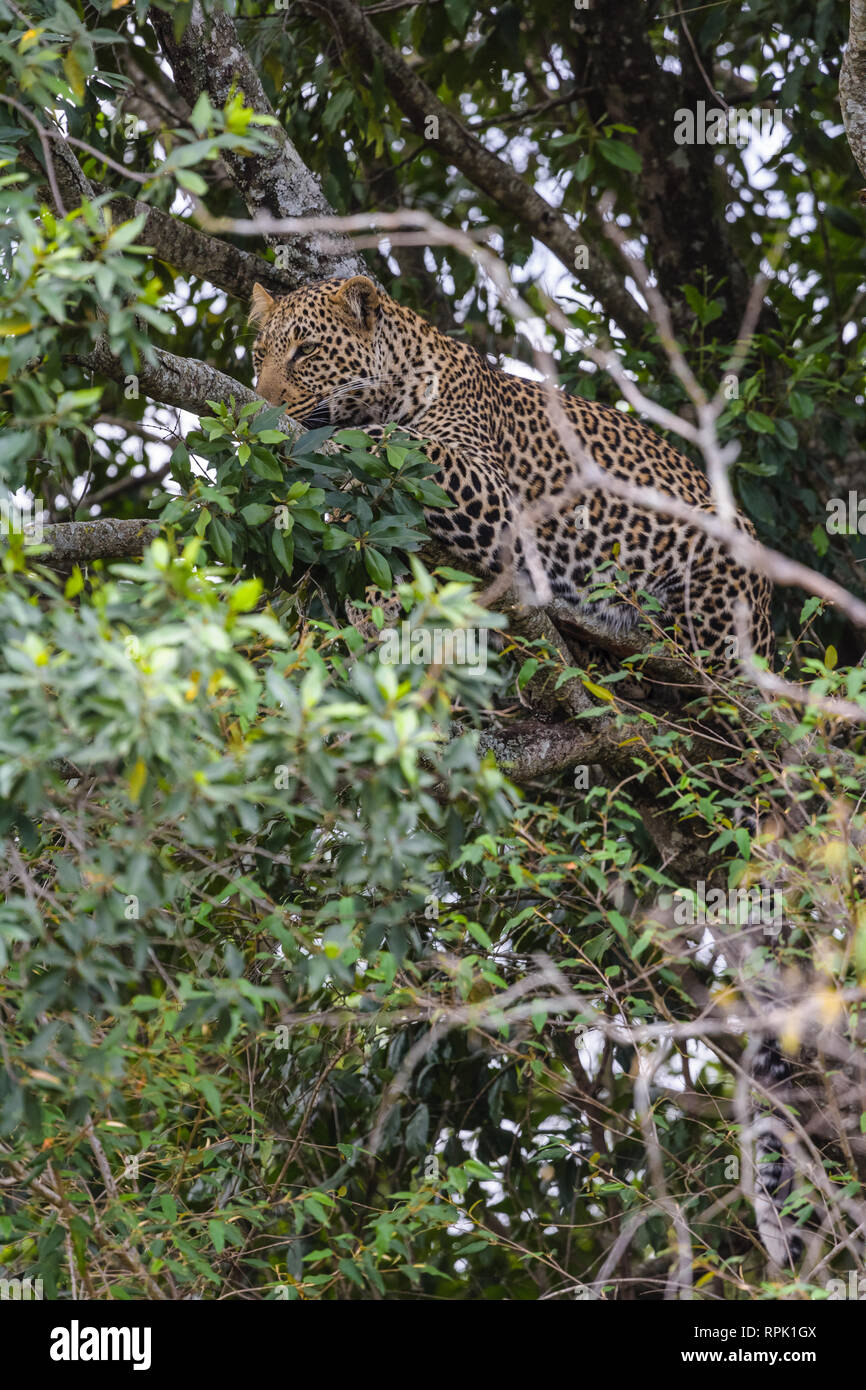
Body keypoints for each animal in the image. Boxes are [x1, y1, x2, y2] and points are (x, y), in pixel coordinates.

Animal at [248, 273, 774, 673]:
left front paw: (344, 442)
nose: (262, 404)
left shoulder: (495, 496)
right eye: (260, 354)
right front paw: (373, 606)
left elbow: (401, 441)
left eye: (306, 351)